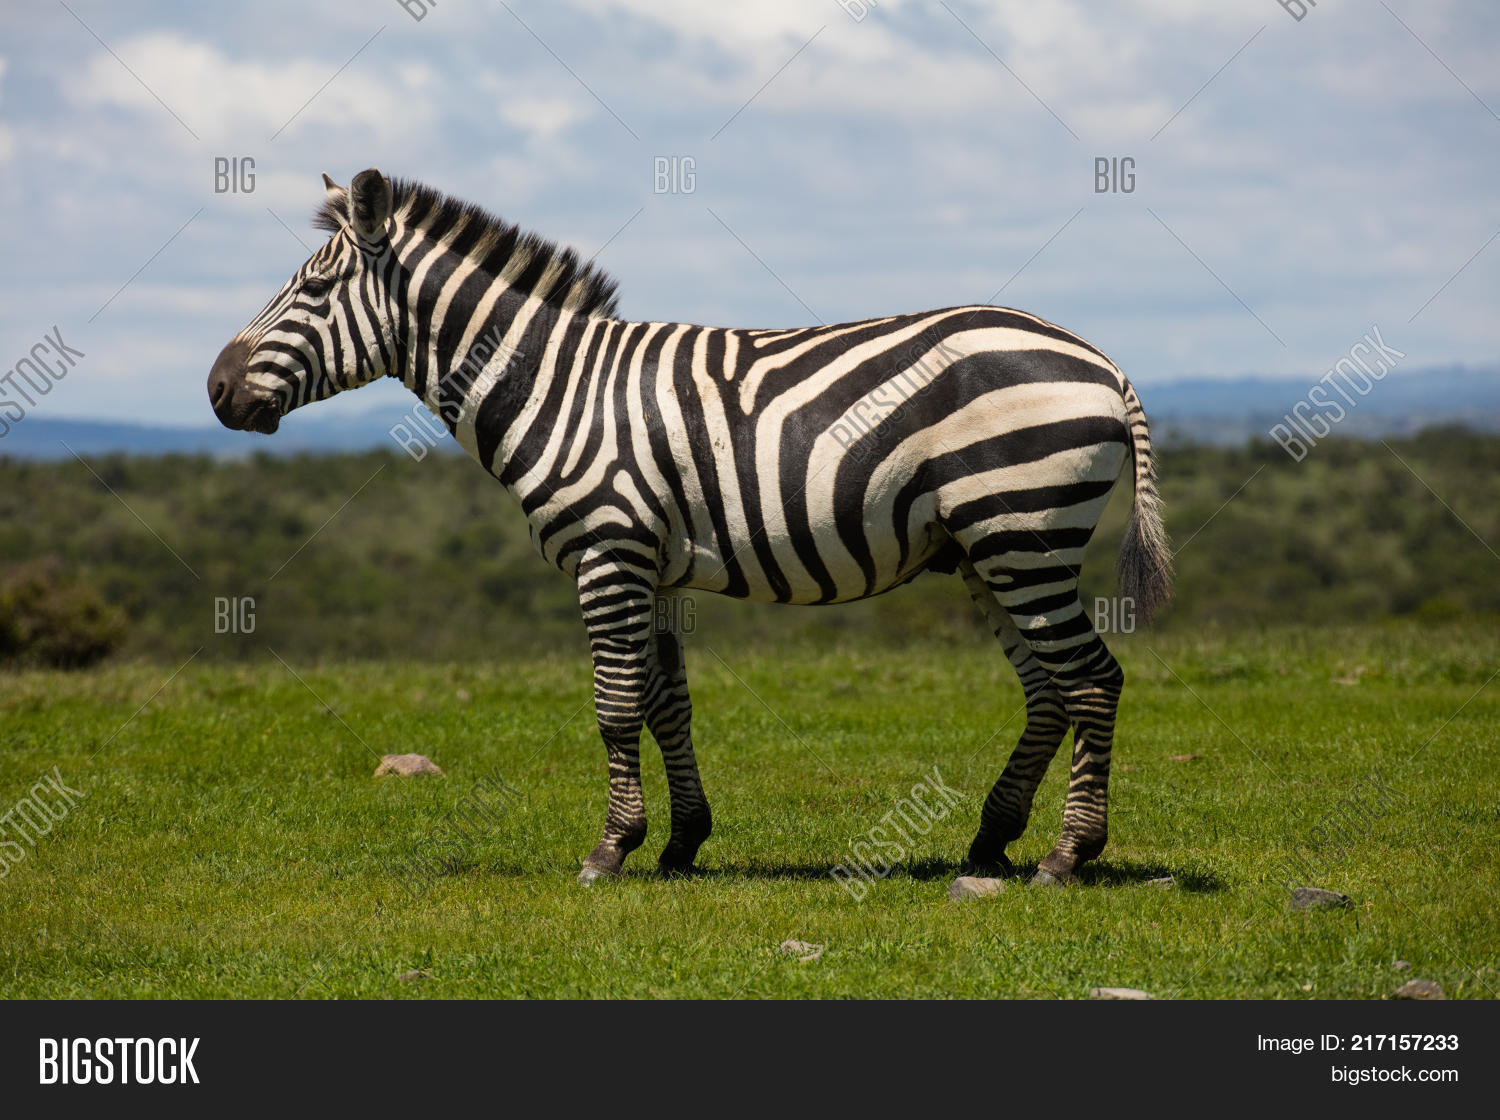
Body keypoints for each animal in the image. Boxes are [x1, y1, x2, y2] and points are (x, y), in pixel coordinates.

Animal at [208, 169, 1173, 887]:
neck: (557, 388)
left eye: (314, 287)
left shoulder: (608, 552)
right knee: (1049, 690)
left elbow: (613, 706)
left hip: (1020, 535)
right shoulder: (656, 566)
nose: (216, 391)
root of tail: (1100, 359)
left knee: (1093, 681)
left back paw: (1065, 856)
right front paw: (681, 842)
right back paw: (990, 841)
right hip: (987, 550)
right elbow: (666, 703)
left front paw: (609, 850)